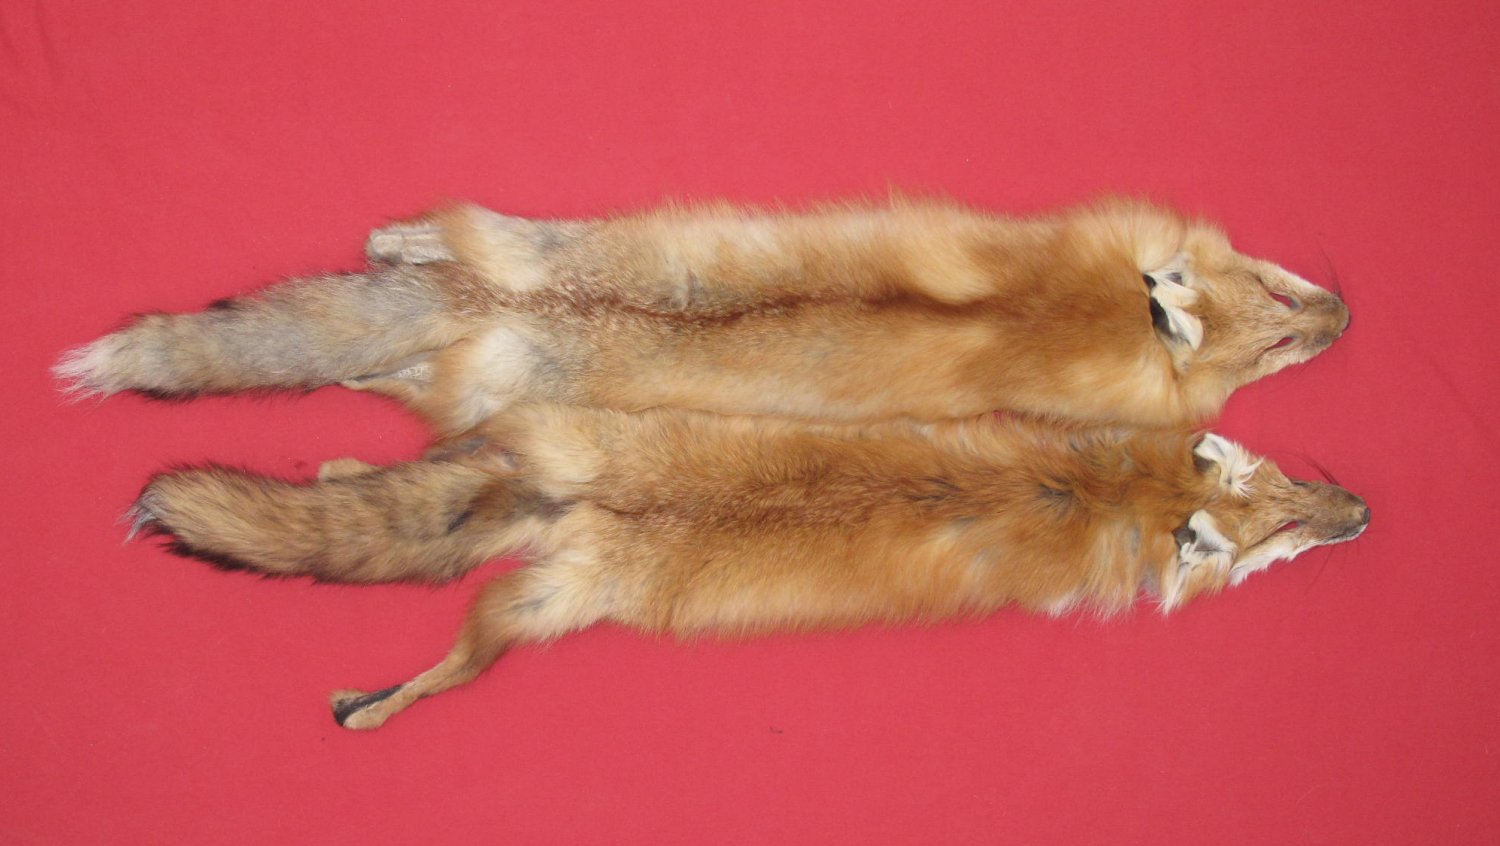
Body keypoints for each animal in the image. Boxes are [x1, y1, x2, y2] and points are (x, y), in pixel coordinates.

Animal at [125, 405, 1370, 730]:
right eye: (1290, 538)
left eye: (1296, 493)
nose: (1362, 510)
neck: (1121, 493)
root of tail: (580, 501)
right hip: (532, 623)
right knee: (450, 666)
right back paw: (378, 704)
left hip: (524, 457)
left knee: (434, 464)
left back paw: (343, 461)